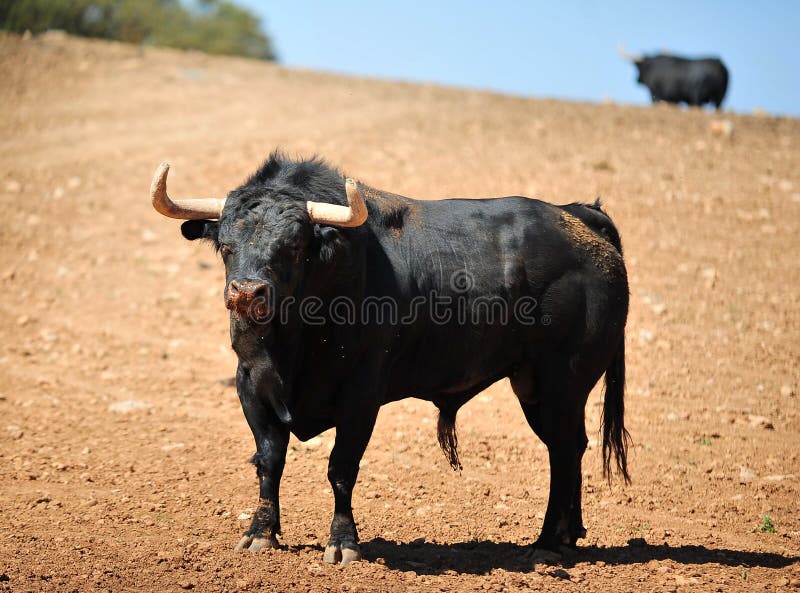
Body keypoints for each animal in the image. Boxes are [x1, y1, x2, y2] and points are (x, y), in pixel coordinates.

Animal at [150, 152, 630, 565]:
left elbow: (341, 467)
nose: (247, 293)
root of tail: (581, 216)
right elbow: (269, 461)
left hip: (562, 381)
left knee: (564, 450)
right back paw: (567, 536)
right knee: (567, 448)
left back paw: (547, 543)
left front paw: (343, 544)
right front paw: (260, 533)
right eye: (225, 244)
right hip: (534, 385)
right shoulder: (252, 386)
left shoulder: (361, 395)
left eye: (294, 245)